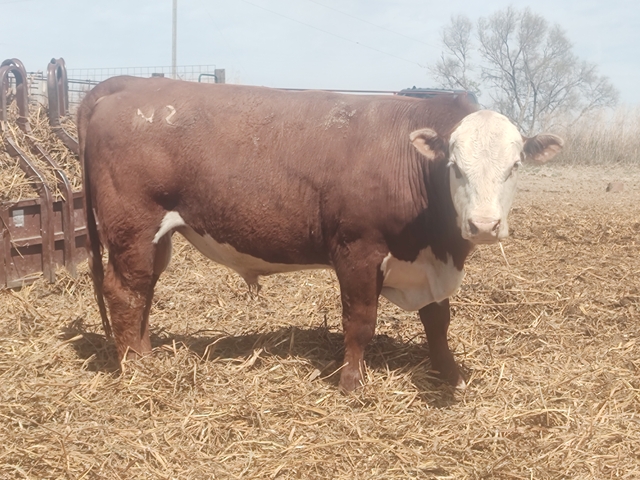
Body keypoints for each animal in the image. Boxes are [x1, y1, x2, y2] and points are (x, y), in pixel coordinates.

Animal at [78, 76, 563, 392]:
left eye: (515, 165)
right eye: (454, 166)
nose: (483, 226)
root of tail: (128, 84)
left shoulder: (429, 260)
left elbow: (438, 322)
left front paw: (450, 374)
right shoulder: (358, 250)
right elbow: (360, 322)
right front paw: (350, 382)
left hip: (155, 238)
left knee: (143, 290)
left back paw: (145, 355)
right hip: (134, 227)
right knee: (124, 292)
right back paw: (135, 368)